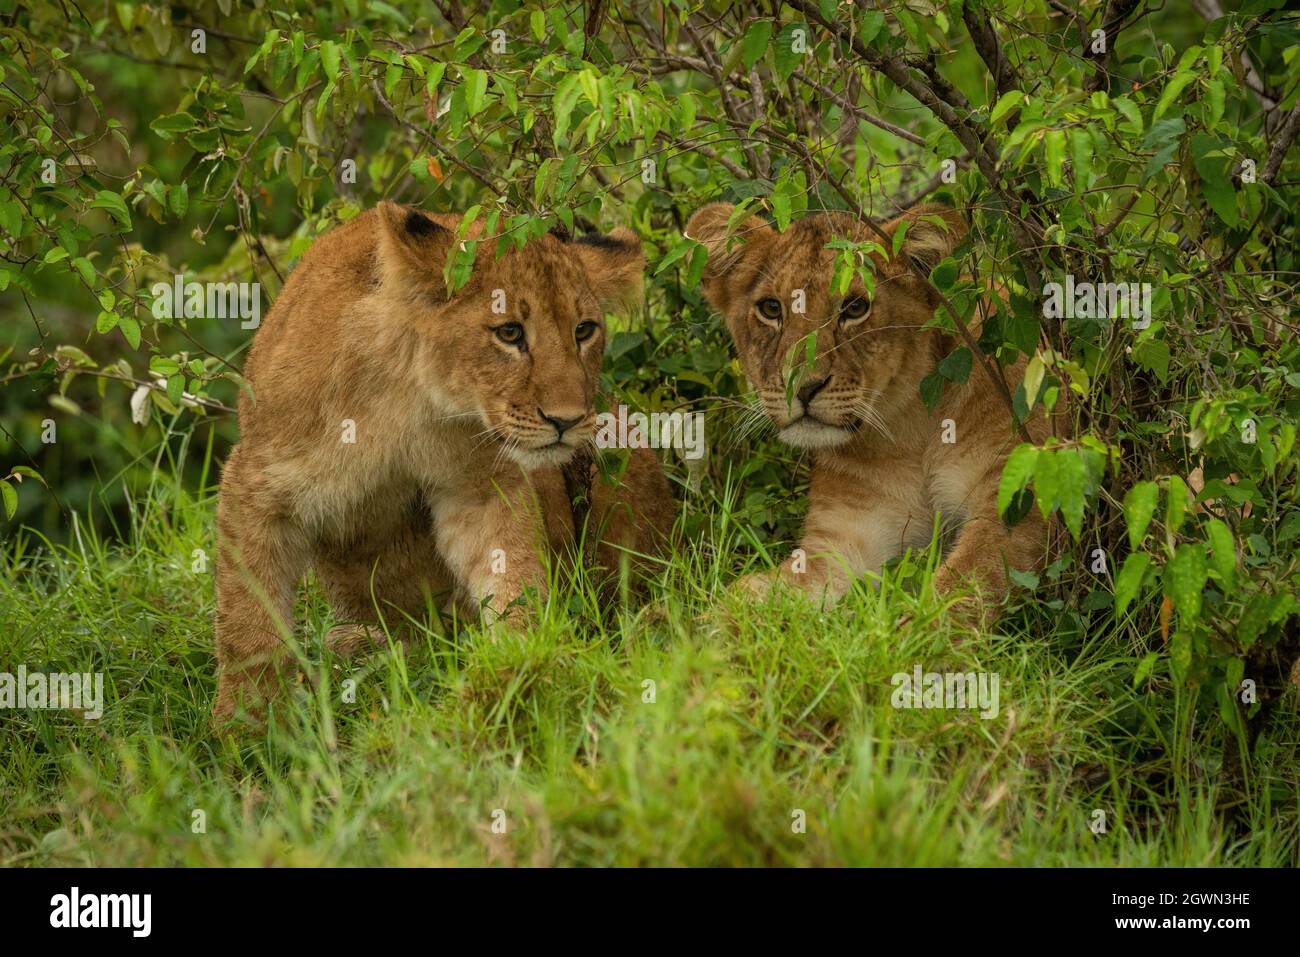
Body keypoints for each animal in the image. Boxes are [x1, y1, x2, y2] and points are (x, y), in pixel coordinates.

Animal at [213, 202, 675, 724]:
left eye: (584, 330)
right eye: (509, 332)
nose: (567, 420)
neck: (412, 397)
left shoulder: (480, 484)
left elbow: (512, 570)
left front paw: (524, 666)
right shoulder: (259, 483)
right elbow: (247, 620)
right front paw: (247, 724)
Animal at [685, 202, 1051, 617]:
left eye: (855, 307)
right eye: (771, 308)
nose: (804, 386)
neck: (913, 425)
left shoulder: (1014, 508)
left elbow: (960, 591)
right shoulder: (845, 538)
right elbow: (748, 596)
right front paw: (687, 630)